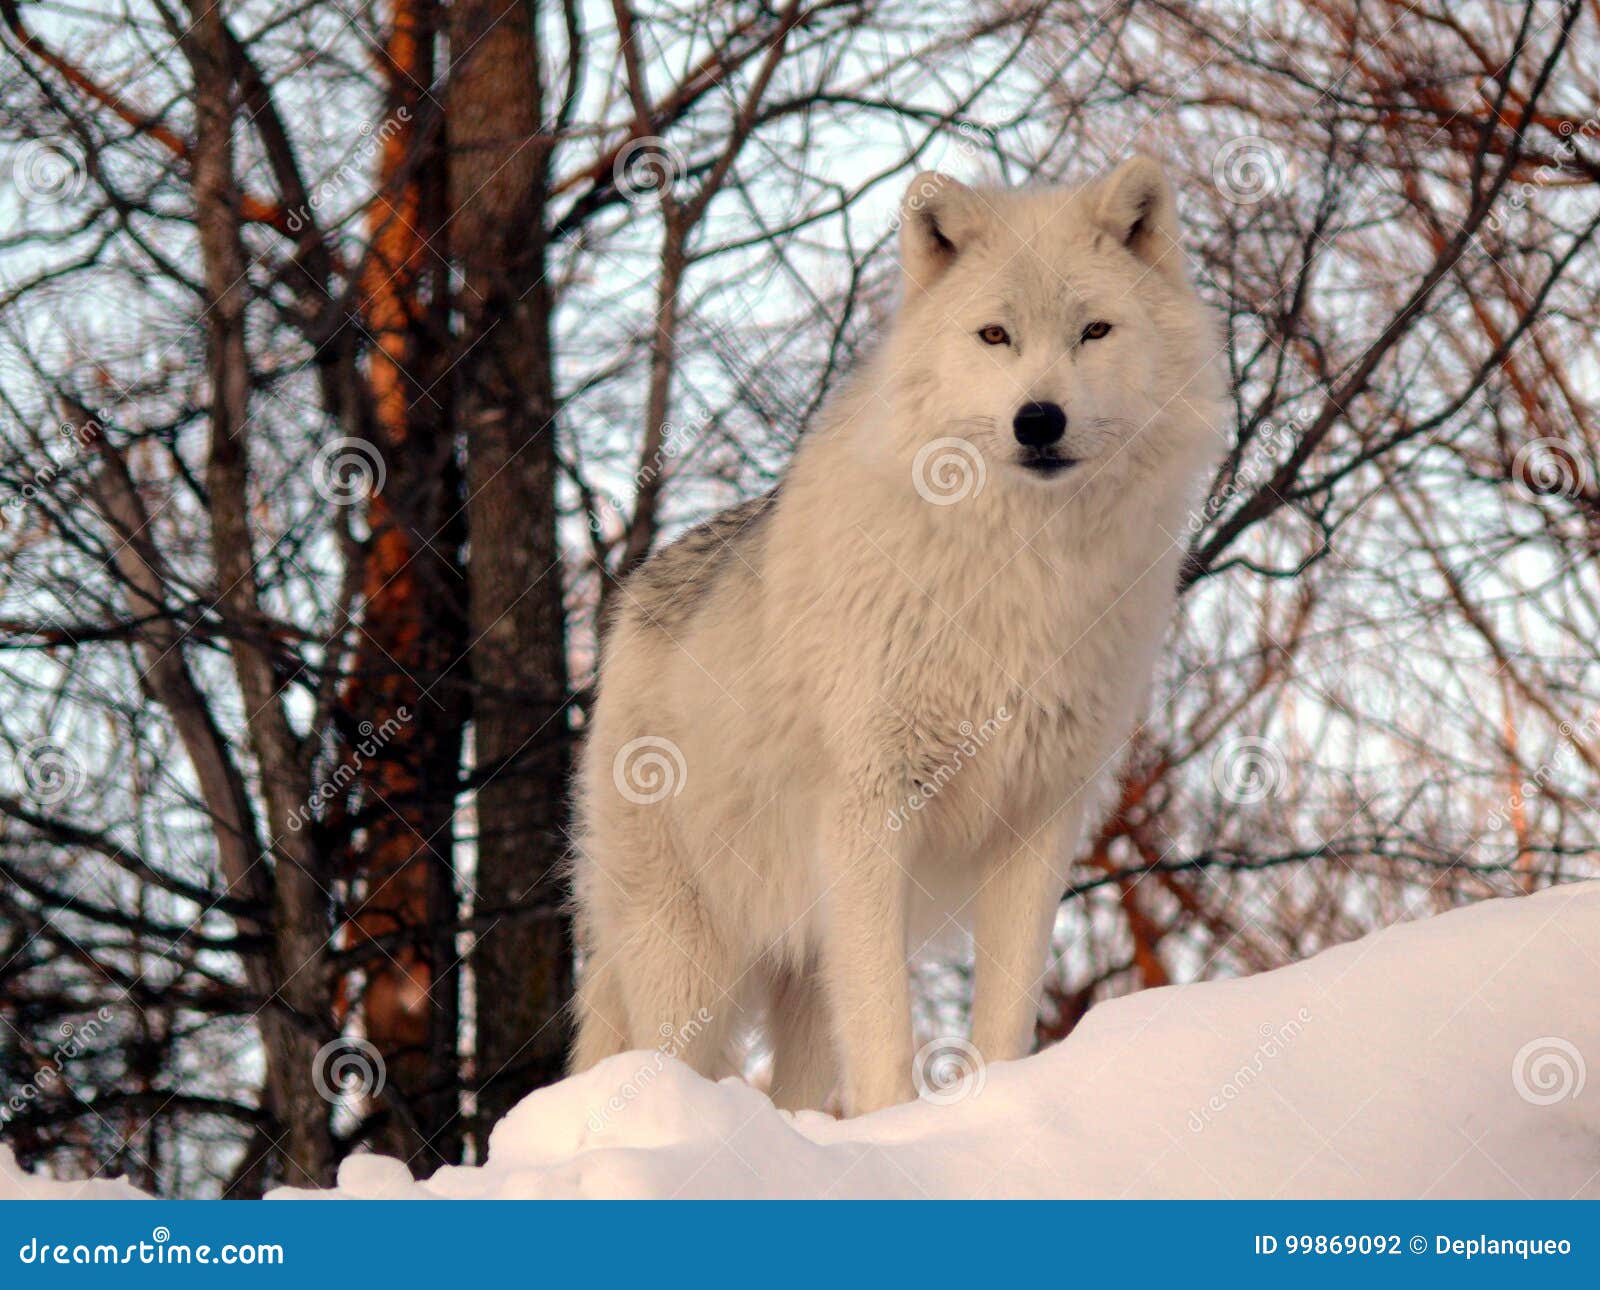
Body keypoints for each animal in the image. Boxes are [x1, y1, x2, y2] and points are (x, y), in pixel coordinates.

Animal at [569, 156, 1227, 1117]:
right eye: (994, 335)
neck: (1019, 568)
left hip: (802, 960)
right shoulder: (872, 809)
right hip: (691, 954)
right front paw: (894, 1126)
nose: (1039, 419)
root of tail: (630, 606)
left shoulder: (1040, 816)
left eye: (1094, 331)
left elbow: (1005, 1009)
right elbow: (885, 1029)